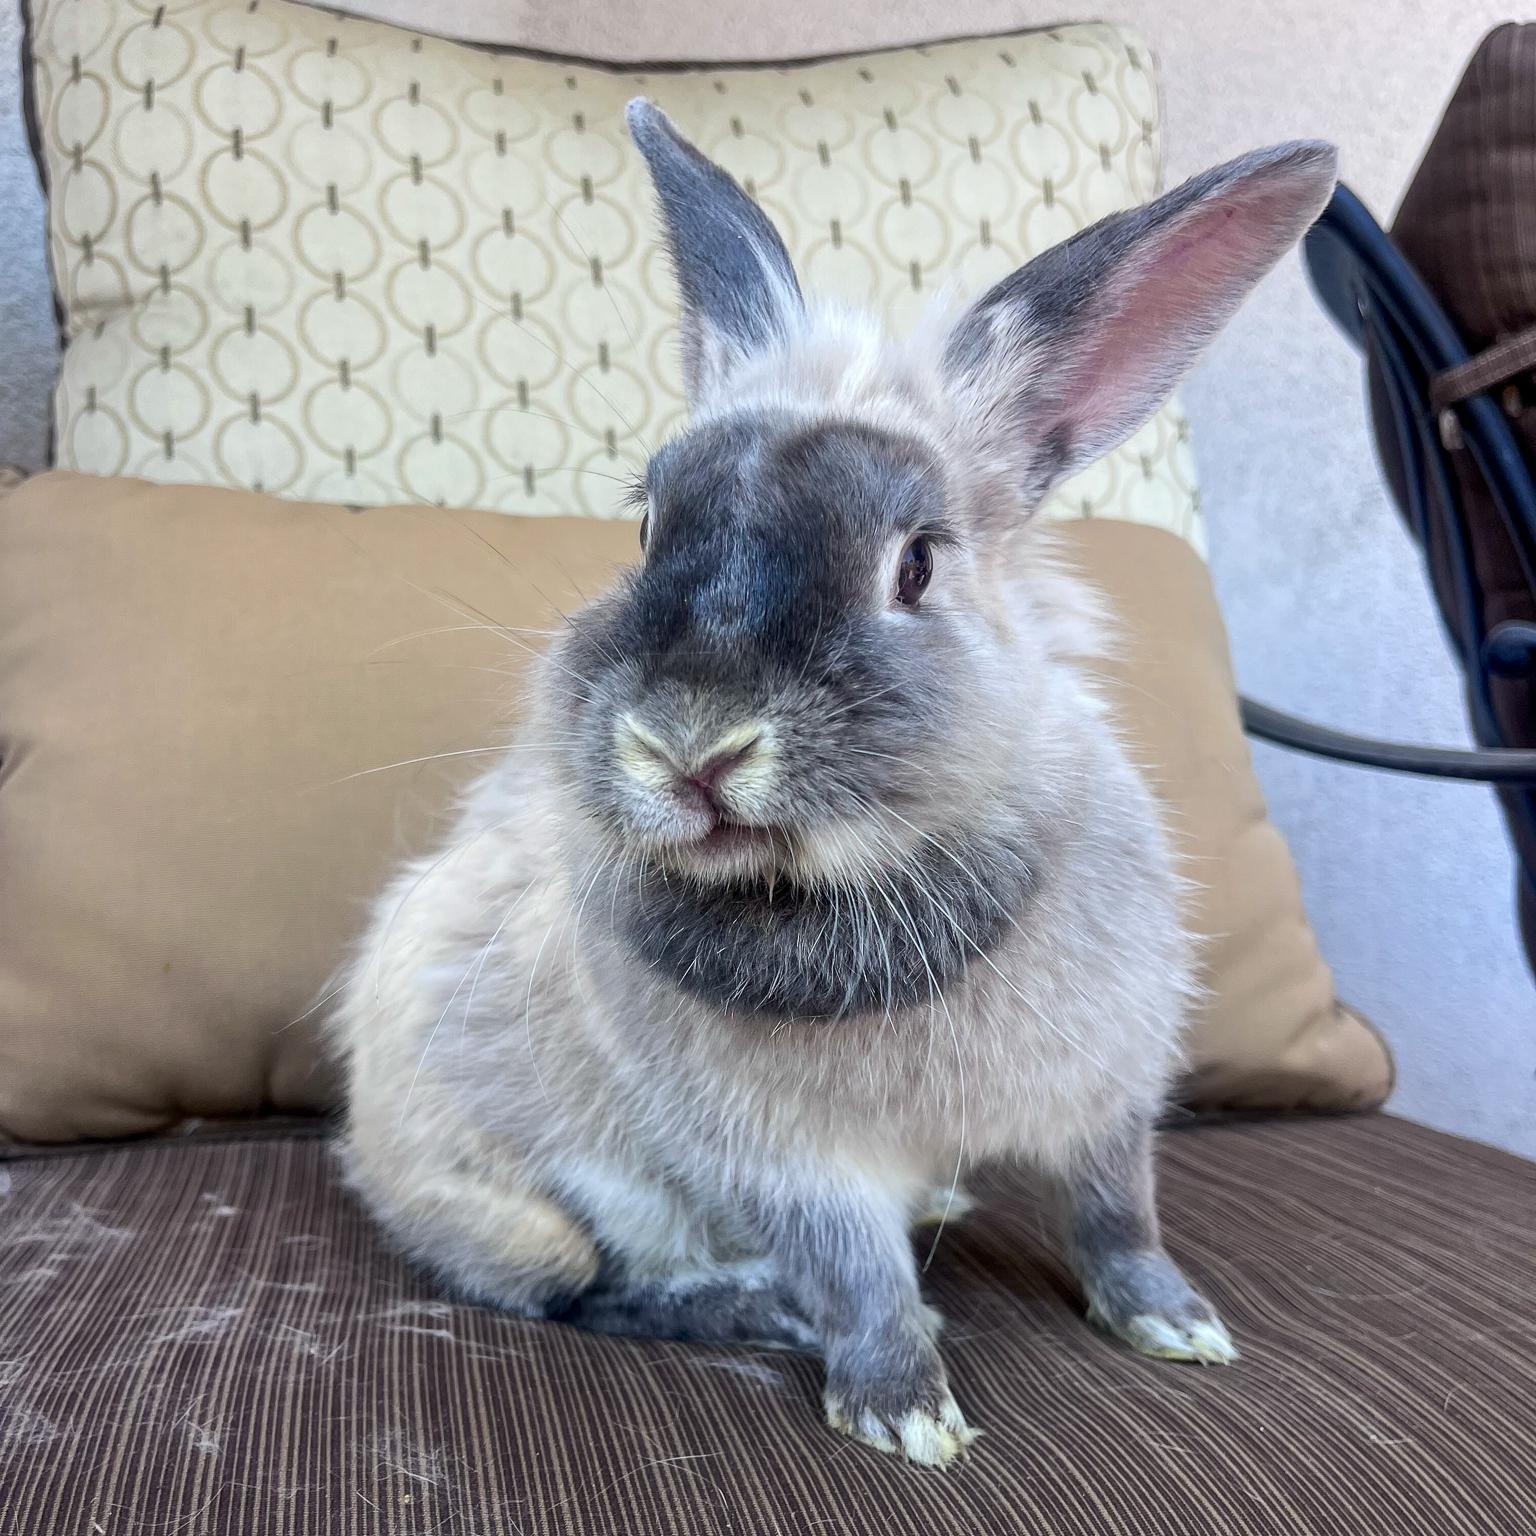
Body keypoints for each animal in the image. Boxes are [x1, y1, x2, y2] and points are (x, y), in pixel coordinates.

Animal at [331, 98, 1337, 1468]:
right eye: (646, 530)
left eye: (915, 565)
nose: (690, 743)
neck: (845, 887)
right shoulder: (794, 1167)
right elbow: (861, 1280)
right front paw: (906, 1413)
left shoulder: (1108, 1094)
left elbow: (1117, 1215)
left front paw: (1179, 1327)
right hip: (510, 1205)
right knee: (582, 1289)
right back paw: (757, 1306)